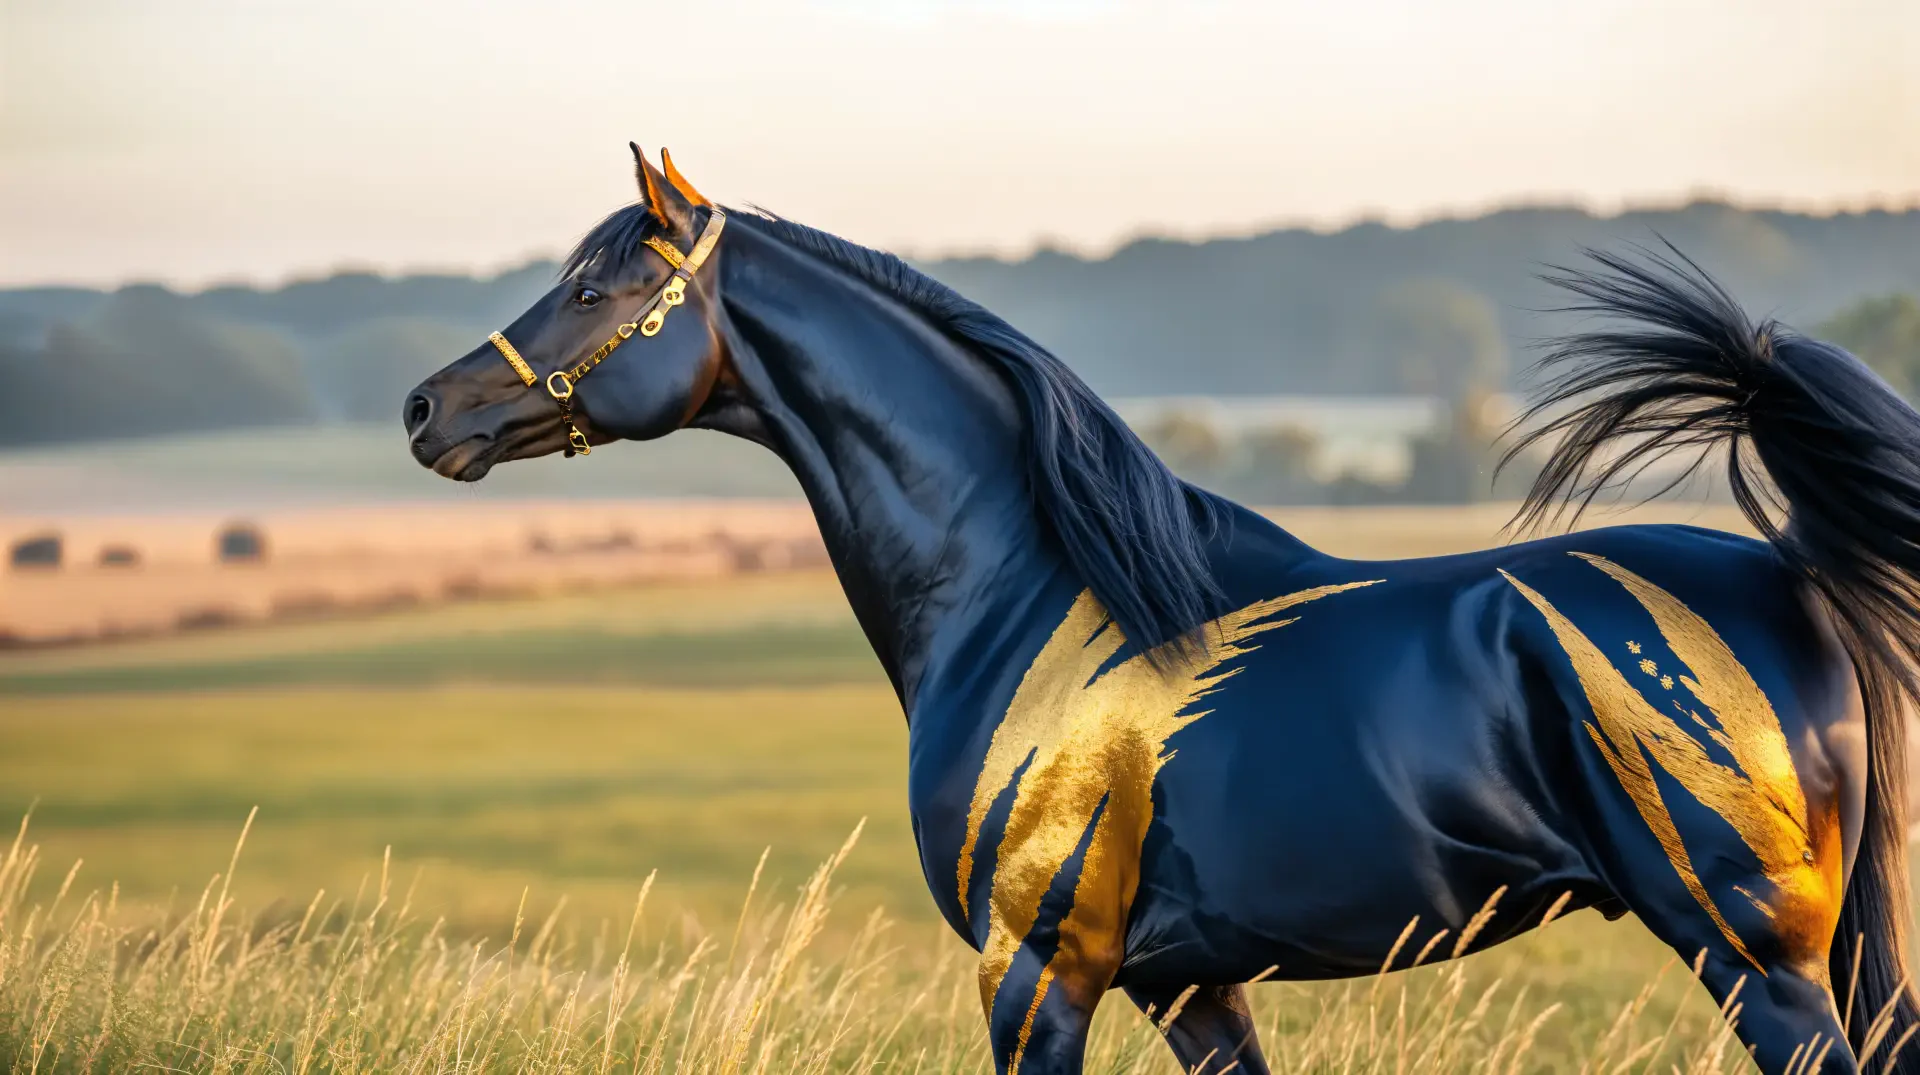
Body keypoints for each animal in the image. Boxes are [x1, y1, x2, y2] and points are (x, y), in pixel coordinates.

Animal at [403, 146, 1920, 1074]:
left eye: (593, 286)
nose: (429, 410)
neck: (1024, 586)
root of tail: (1788, 573)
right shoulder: (1188, 985)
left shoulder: (1034, 973)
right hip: (1841, 947)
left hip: (1755, 952)